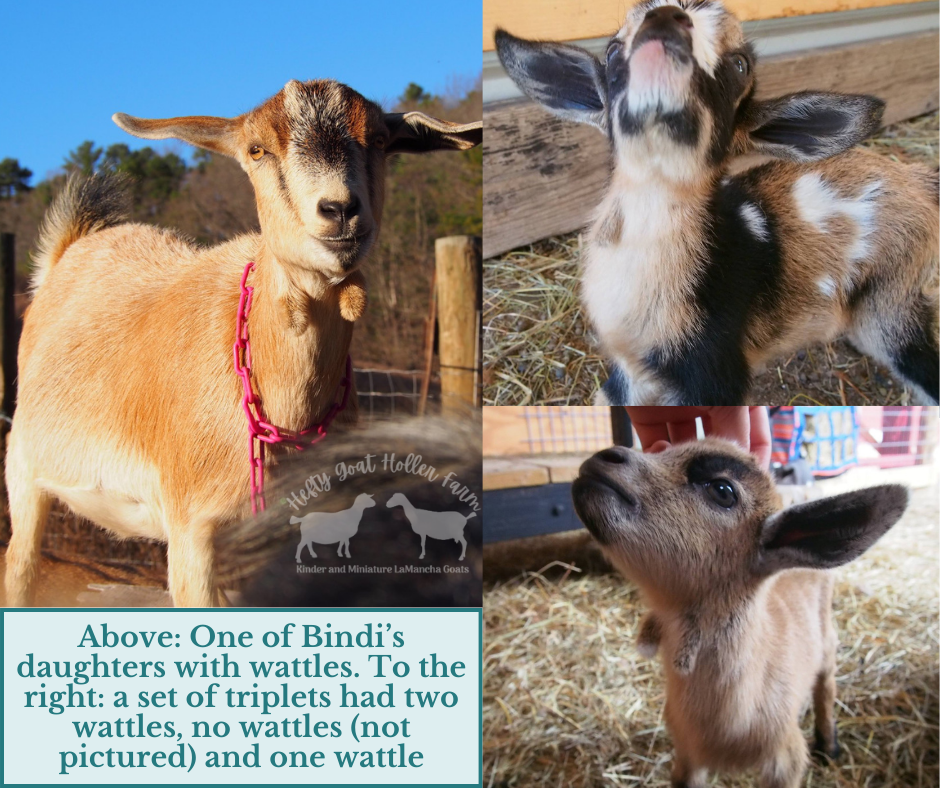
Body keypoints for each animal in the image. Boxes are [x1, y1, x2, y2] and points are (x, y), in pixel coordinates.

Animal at [5, 79, 481, 607]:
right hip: (23, 471)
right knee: (19, 566)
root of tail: (69, 248)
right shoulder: (192, 529)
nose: (339, 210)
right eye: (256, 149)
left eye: (378, 140)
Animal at [495, 0, 939, 405]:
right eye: (612, 49)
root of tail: (915, 178)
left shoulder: (715, 371)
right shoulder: (629, 370)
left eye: (741, 65)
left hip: (892, 300)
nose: (664, 20)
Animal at [571, 437, 908, 788]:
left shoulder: (786, 760)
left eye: (723, 490)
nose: (604, 456)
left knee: (826, 680)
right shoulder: (686, 757)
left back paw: (829, 744)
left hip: (826, 630)